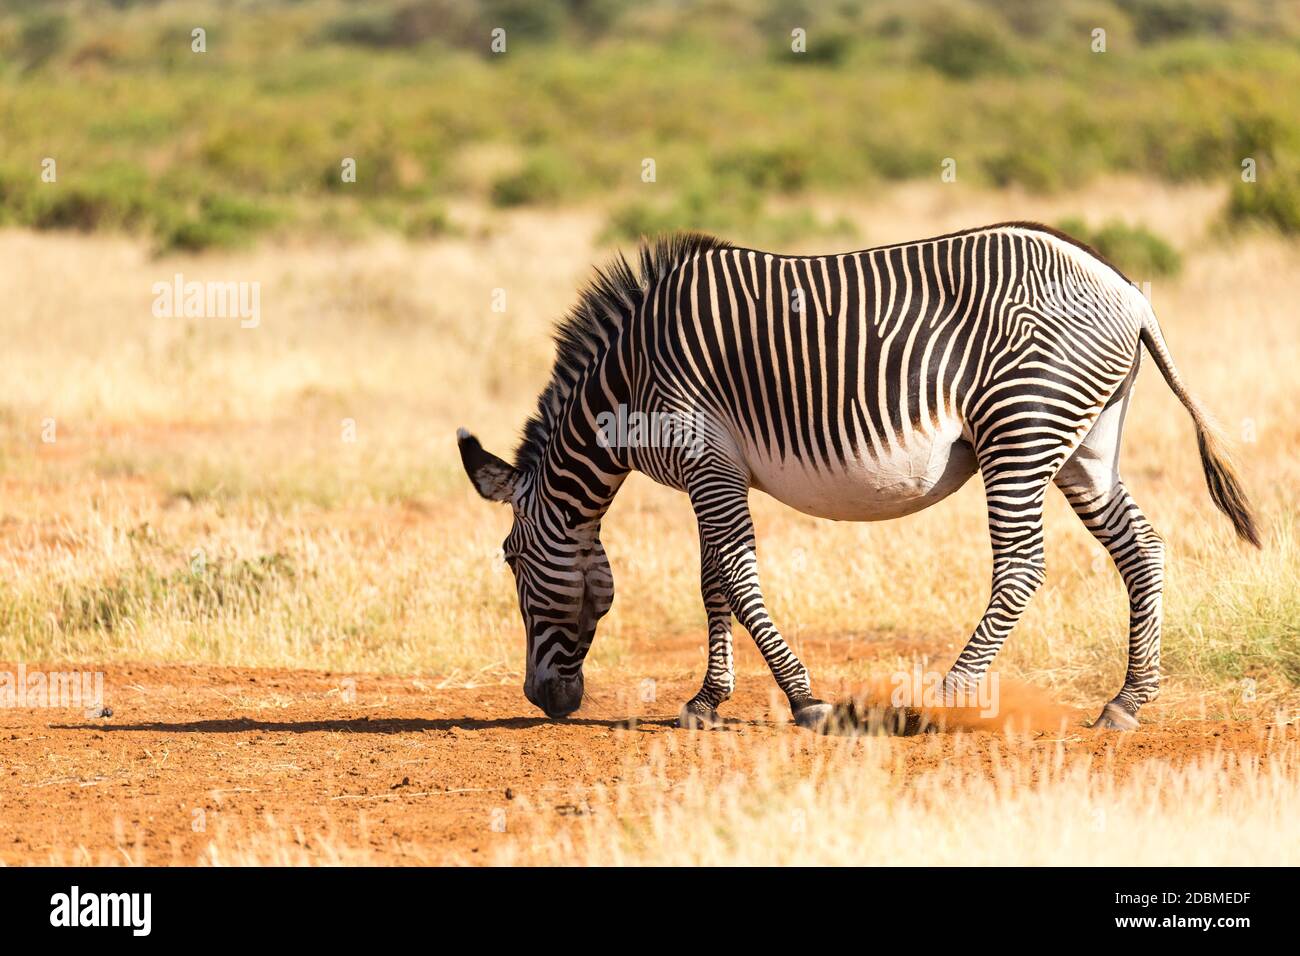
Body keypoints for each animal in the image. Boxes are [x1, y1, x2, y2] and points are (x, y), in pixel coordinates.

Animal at [458, 224, 1259, 731]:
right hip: (1085, 444)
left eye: (510, 561)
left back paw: (946, 698)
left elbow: (736, 579)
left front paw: (805, 701)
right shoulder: (713, 469)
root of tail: (1128, 290)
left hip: (1022, 427)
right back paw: (1127, 702)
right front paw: (707, 701)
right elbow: (713, 581)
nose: (544, 700)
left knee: (1022, 566)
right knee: (1141, 550)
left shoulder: (703, 458)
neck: (626, 382)